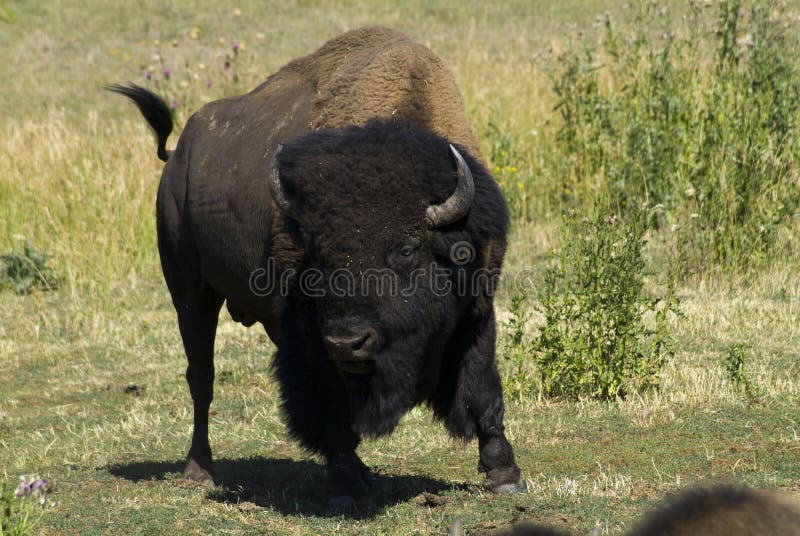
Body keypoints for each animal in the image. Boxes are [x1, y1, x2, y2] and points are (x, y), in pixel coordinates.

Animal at [111, 26, 524, 508]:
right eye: (320, 254)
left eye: (407, 250)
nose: (349, 342)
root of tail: (177, 156)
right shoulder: (308, 335)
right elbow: (329, 407)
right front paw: (345, 484)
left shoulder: (477, 309)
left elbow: (482, 390)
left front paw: (505, 472)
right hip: (190, 292)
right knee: (202, 377)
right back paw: (199, 471)